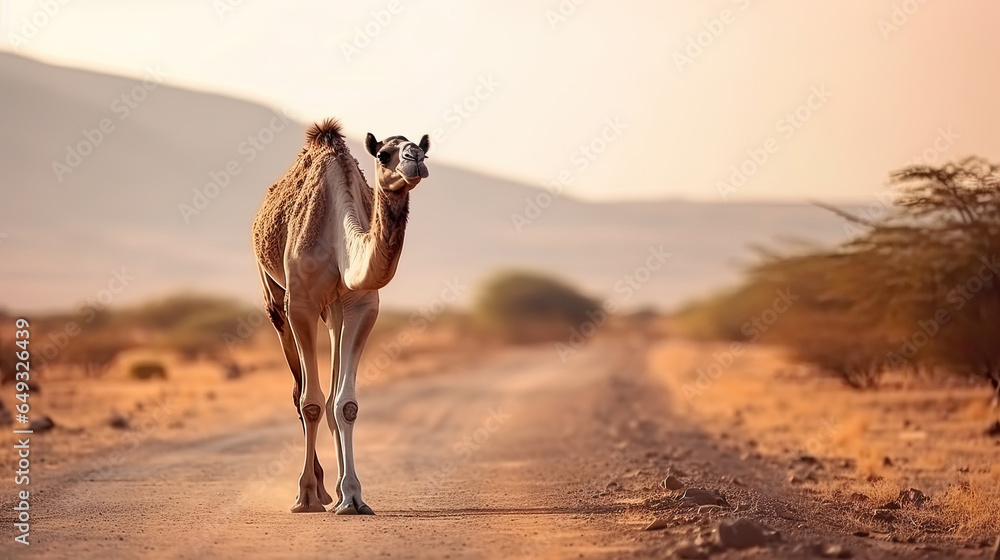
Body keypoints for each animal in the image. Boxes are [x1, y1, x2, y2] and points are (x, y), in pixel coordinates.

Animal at [252, 118, 429, 514]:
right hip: (275, 297)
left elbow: (344, 404)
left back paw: (332, 491)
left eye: (424, 151)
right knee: (299, 391)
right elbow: (311, 403)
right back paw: (316, 490)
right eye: (384, 153)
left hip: (332, 311)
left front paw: (353, 497)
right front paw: (305, 496)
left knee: (331, 392)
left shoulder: (362, 305)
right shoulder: (301, 302)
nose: (414, 161)